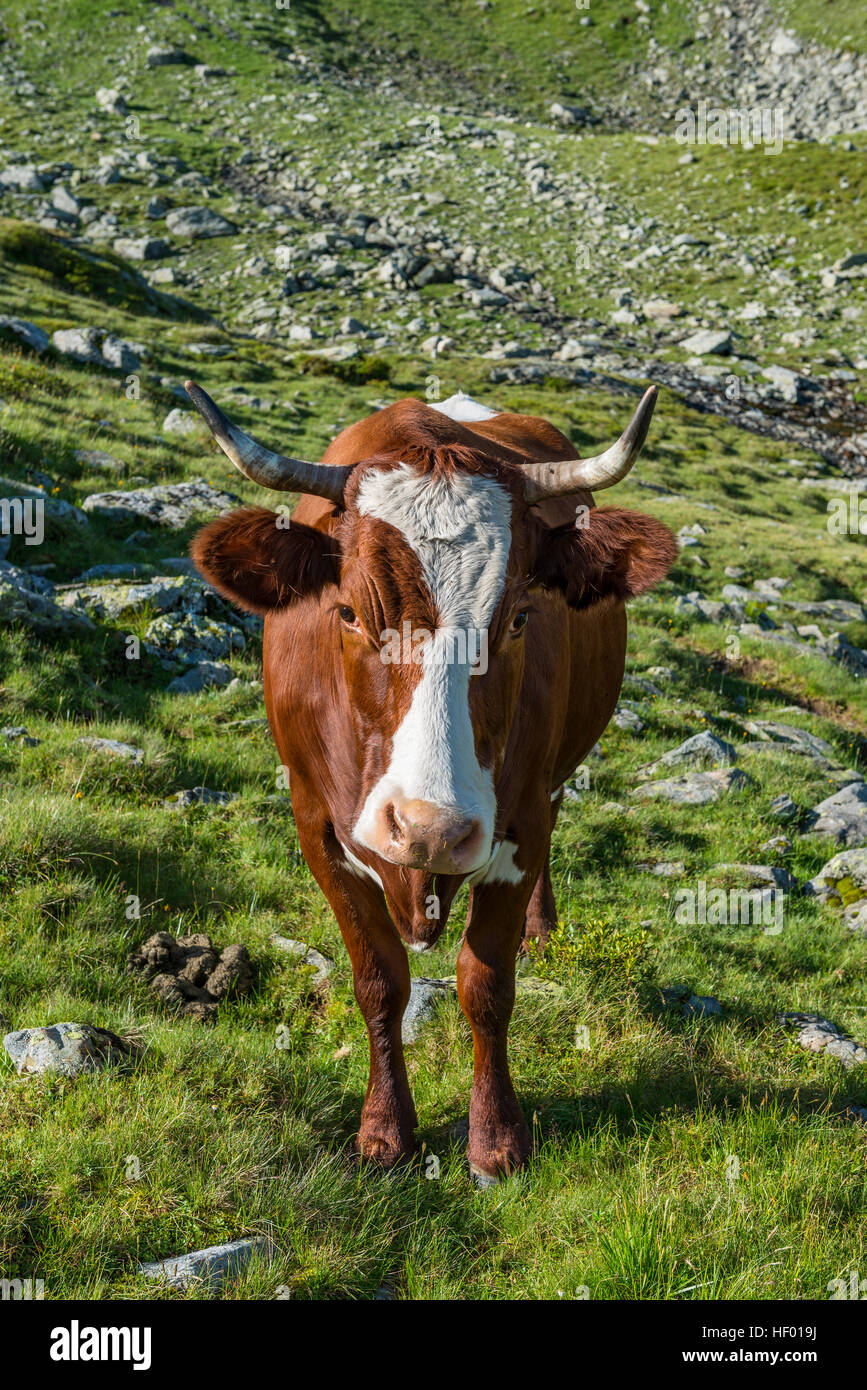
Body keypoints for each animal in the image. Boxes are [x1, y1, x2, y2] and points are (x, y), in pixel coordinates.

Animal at [186, 380, 676, 1183]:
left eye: (518, 619)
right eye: (348, 613)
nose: (430, 830)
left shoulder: (520, 823)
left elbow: (486, 983)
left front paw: (496, 1138)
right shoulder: (316, 823)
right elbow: (379, 981)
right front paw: (386, 1130)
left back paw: (543, 930)